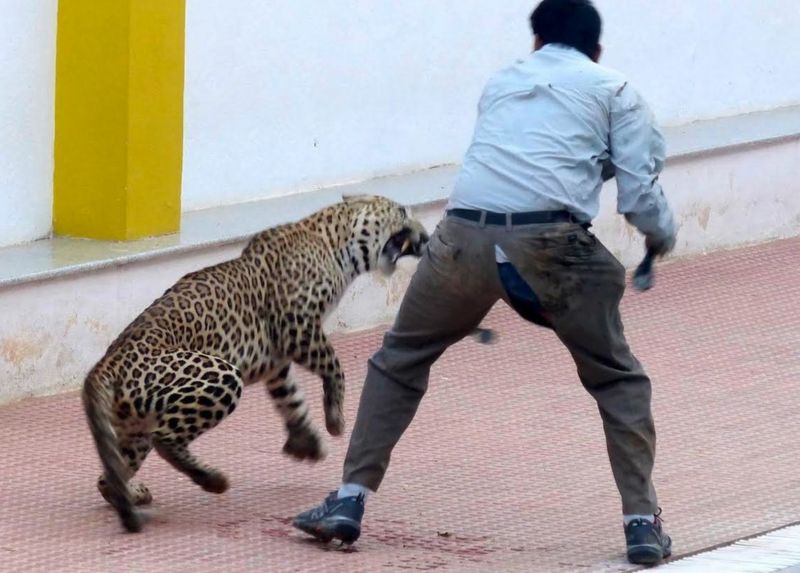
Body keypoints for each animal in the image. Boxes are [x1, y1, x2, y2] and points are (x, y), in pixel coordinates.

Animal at [82, 194, 429, 533]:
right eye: (401, 212)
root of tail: (104, 366)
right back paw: (213, 480)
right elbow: (334, 366)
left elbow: (291, 398)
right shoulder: (297, 328)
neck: (334, 243)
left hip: (134, 426)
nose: (426, 237)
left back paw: (131, 494)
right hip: (220, 376)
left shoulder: (276, 361)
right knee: (165, 439)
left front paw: (306, 442)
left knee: (109, 476)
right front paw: (335, 420)